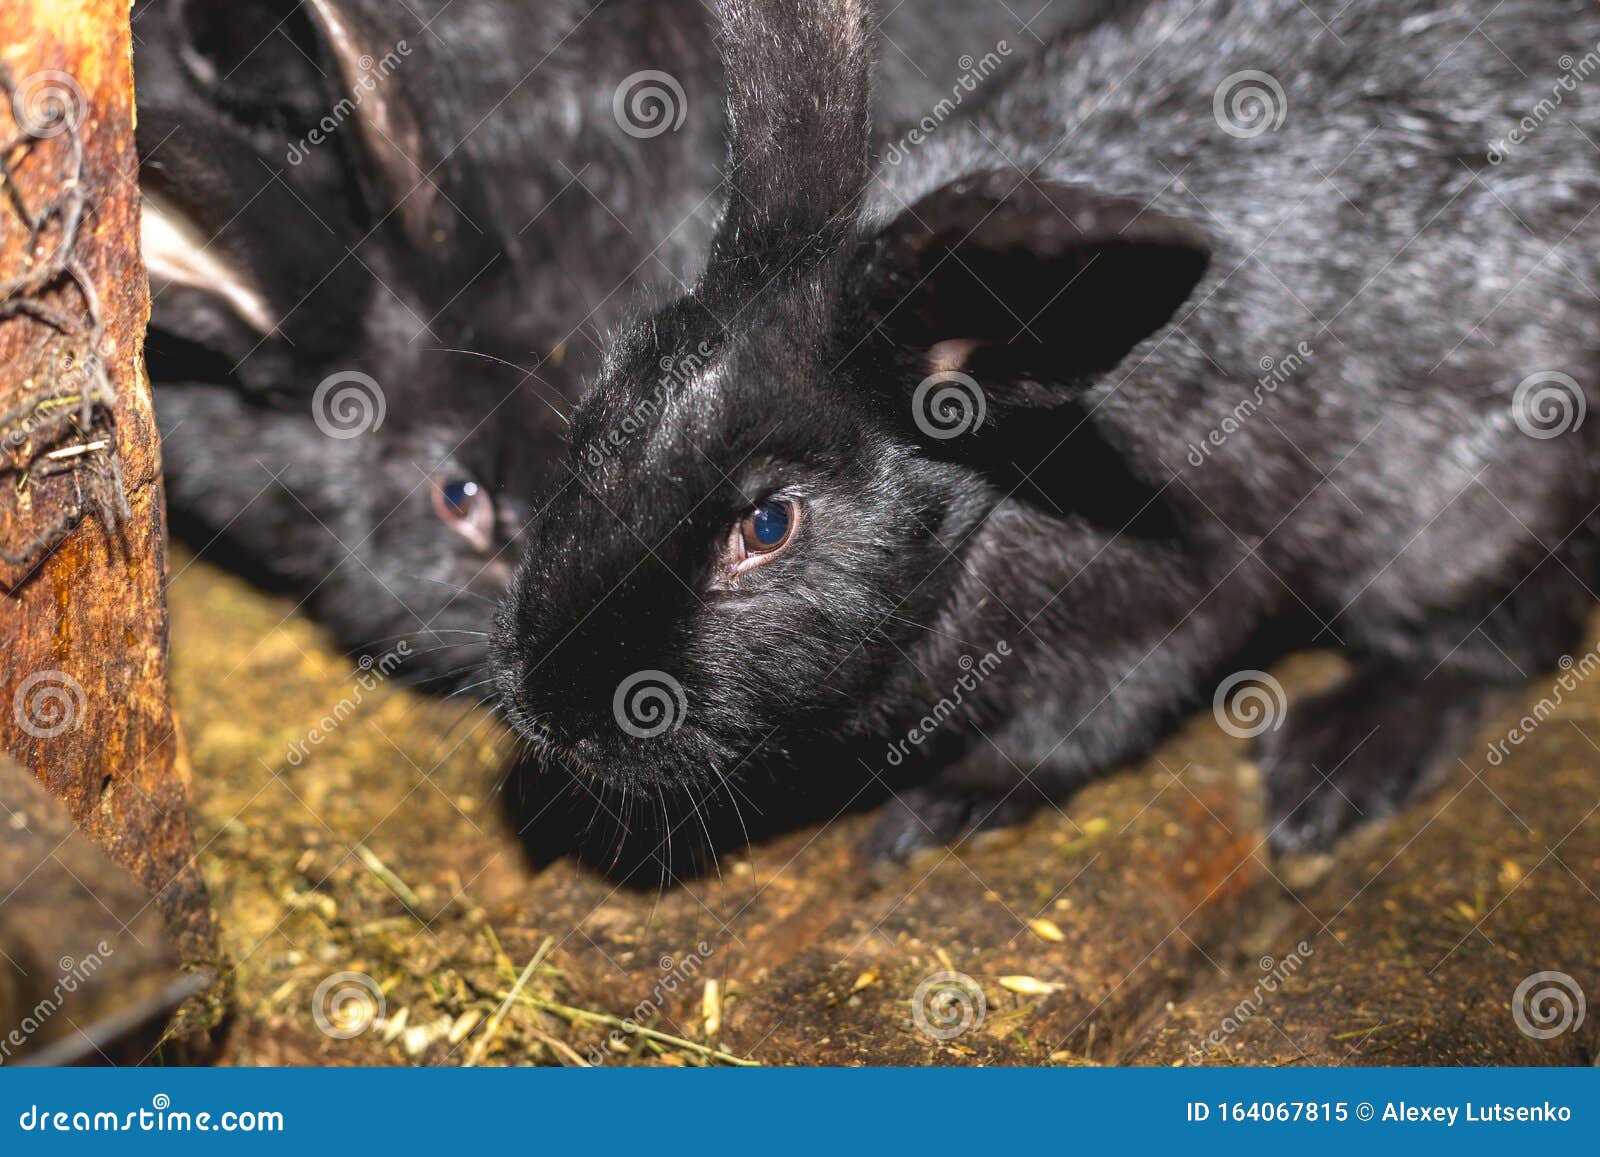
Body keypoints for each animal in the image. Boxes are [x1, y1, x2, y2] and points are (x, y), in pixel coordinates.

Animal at [490, 0, 1600, 880]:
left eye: (767, 524)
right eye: (598, 416)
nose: (551, 711)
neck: (992, 494)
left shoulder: (1165, 606)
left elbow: (1068, 735)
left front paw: (933, 814)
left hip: (1462, 514)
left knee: (1497, 642)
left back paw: (1330, 766)